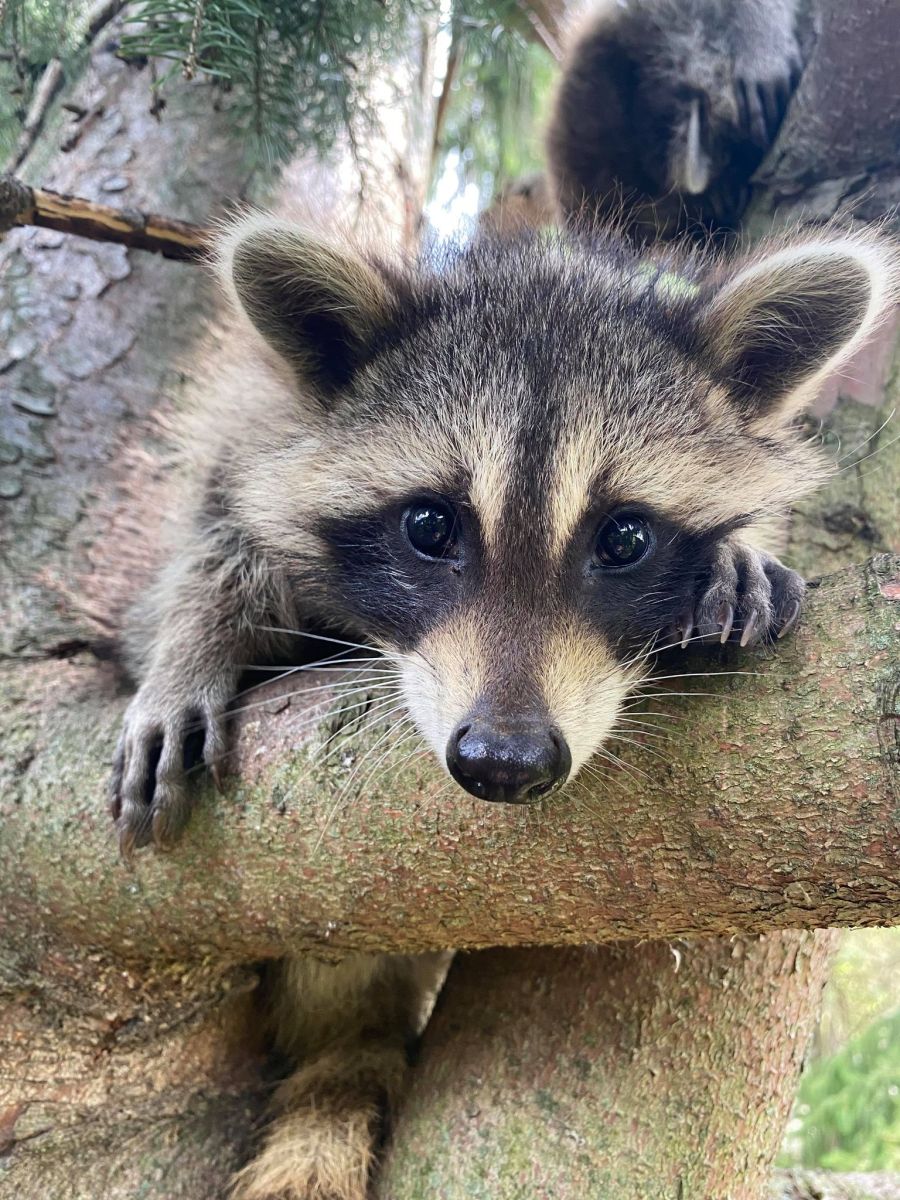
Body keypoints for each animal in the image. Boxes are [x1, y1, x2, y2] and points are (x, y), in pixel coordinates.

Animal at [111, 218, 894, 1199]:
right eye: (429, 526)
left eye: (626, 538)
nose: (504, 760)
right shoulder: (256, 434)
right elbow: (214, 547)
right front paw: (189, 649)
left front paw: (736, 554)